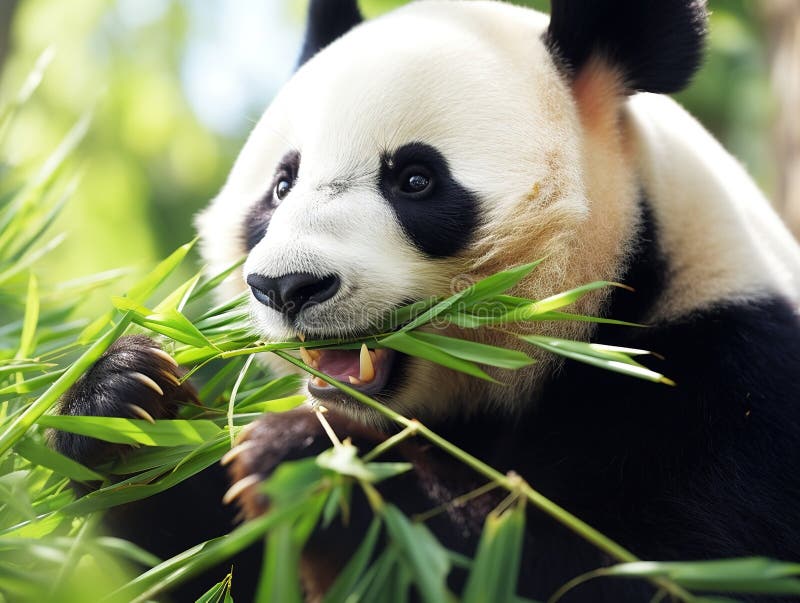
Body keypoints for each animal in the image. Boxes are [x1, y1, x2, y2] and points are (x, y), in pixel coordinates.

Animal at [52, 0, 800, 601]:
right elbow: (189, 564)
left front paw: (322, 465)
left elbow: (627, 571)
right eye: (281, 186)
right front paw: (121, 397)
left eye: (415, 178)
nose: (288, 286)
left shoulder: (725, 390)